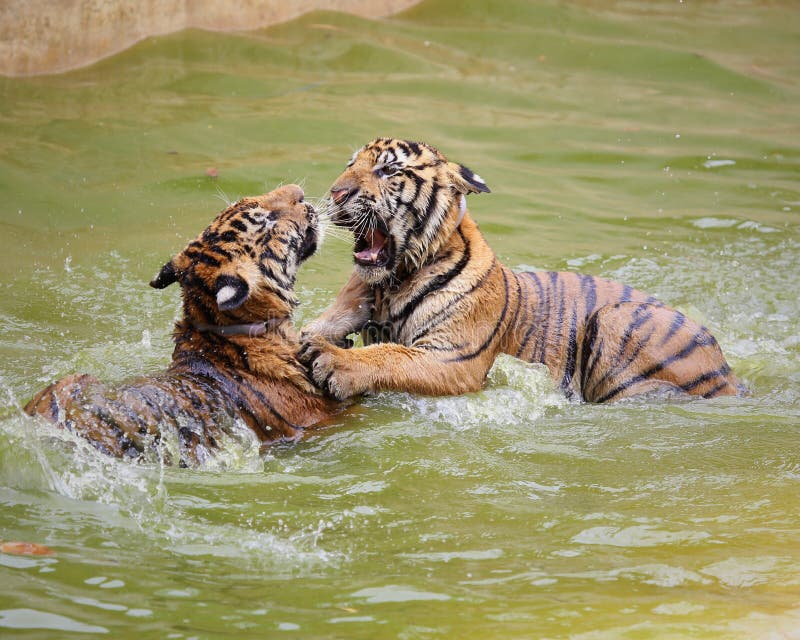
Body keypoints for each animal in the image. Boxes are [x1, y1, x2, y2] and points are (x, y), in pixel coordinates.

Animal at [299, 138, 745, 403]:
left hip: (617, 320)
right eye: (350, 165)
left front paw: (332, 360)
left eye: (388, 170)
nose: (336, 193)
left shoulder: (452, 358)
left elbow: (388, 355)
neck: (392, 283)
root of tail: (731, 374)